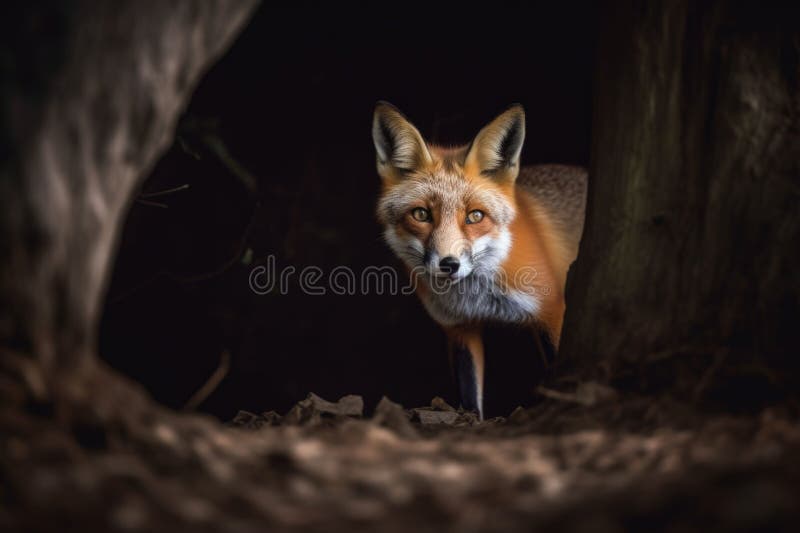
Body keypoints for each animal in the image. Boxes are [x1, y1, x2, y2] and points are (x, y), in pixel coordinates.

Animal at [372, 102, 587, 419]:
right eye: (421, 214)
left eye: (475, 216)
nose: (449, 264)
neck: (477, 297)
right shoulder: (459, 326)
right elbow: (470, 397)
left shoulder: (552, 311)